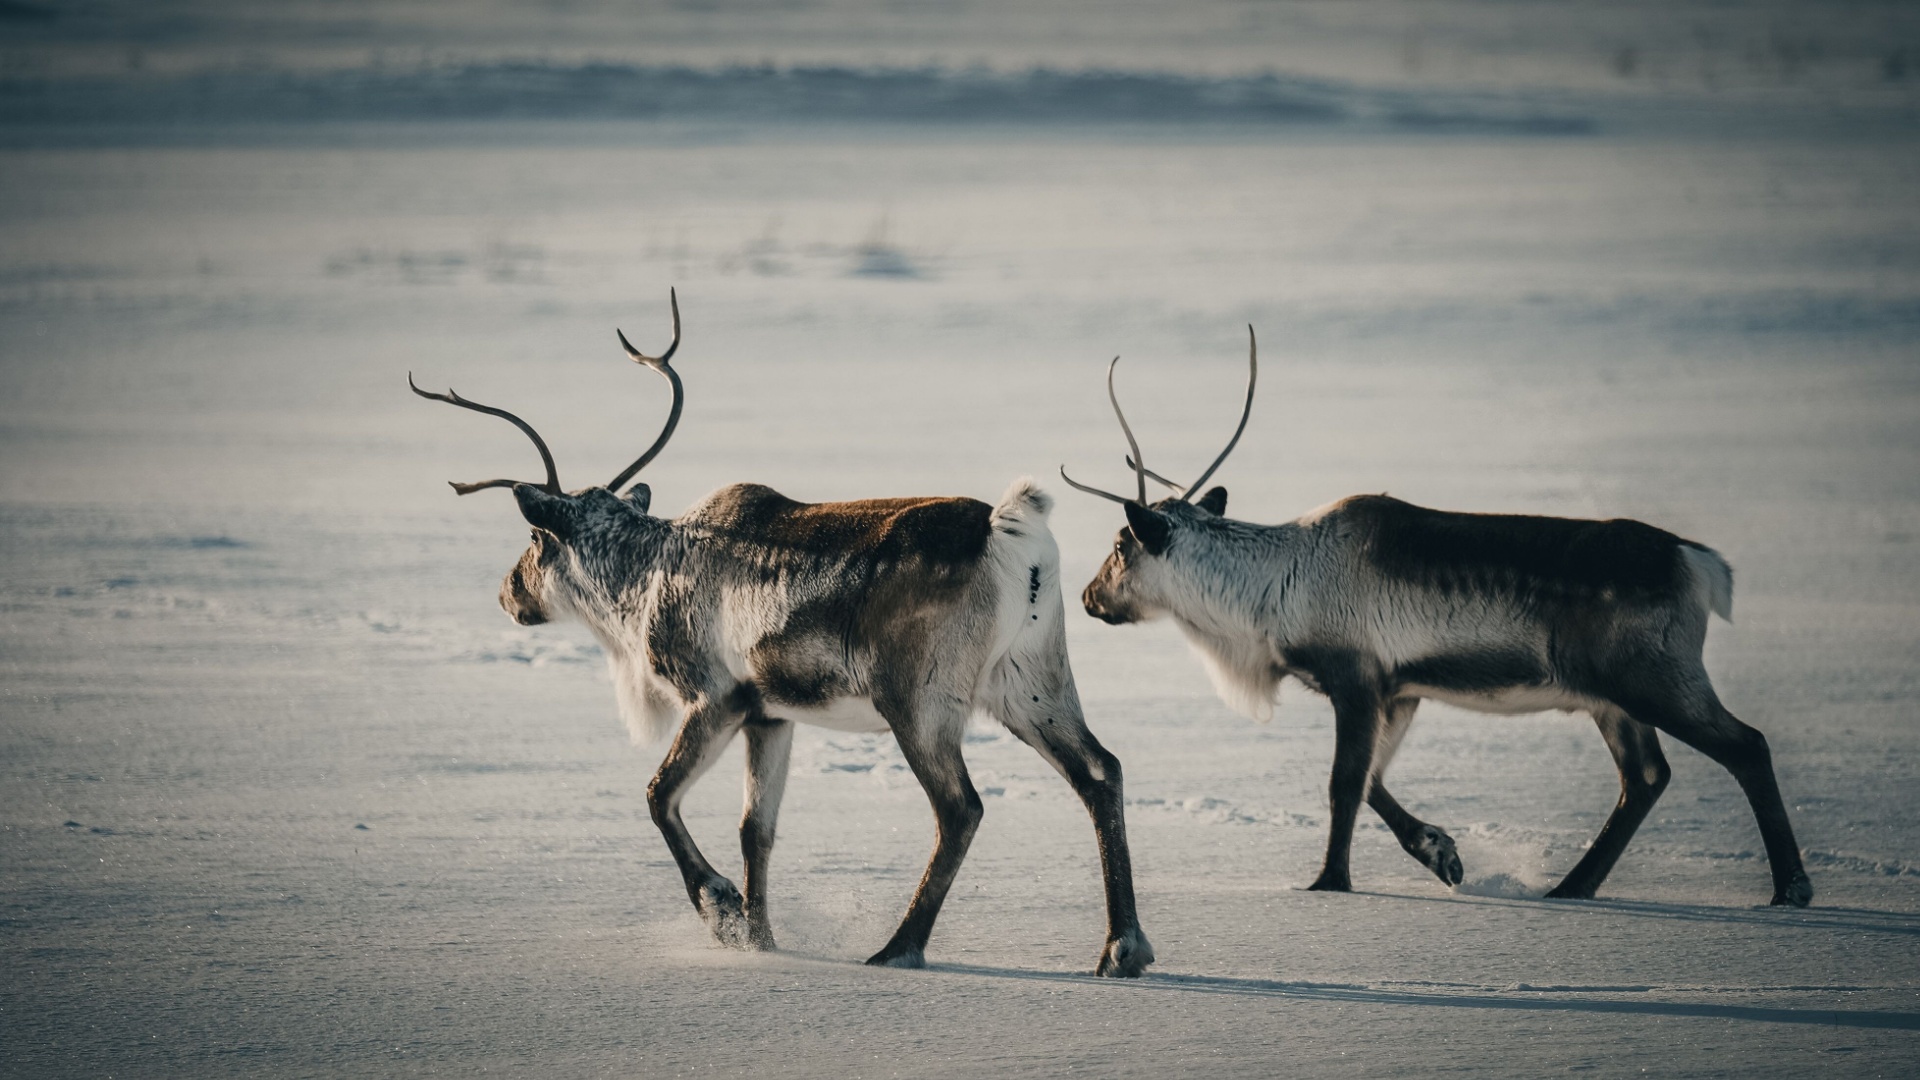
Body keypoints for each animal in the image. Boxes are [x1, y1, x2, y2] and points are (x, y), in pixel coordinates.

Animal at [409, 292, 1153, 976]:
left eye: (537, 540)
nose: (507, 593)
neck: (642, 576)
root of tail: (1009, 533)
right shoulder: (771, 714)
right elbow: (756, 829)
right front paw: (760, 939)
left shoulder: (714, 696)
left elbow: (658, 795)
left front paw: (722, 911)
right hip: (1033, 680)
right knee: (1102, 771)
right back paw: (1122, 949)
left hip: (919, 699)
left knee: (961, 808)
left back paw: (900, 947)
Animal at [1059, 328, 1813, 909]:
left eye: (1121, 545)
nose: (1088, 598)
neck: (1267, 594)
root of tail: (1698, 560)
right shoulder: (1400, 690)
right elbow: (1373, 782)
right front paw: (1441, 852)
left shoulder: (1356, 679)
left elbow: (1343, 784)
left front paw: (1329, 882)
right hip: (1610, 699)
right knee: (1646, 778)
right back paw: (1572, 887)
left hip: (1652, 677)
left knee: (1746, 746)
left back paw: (1790, 888)